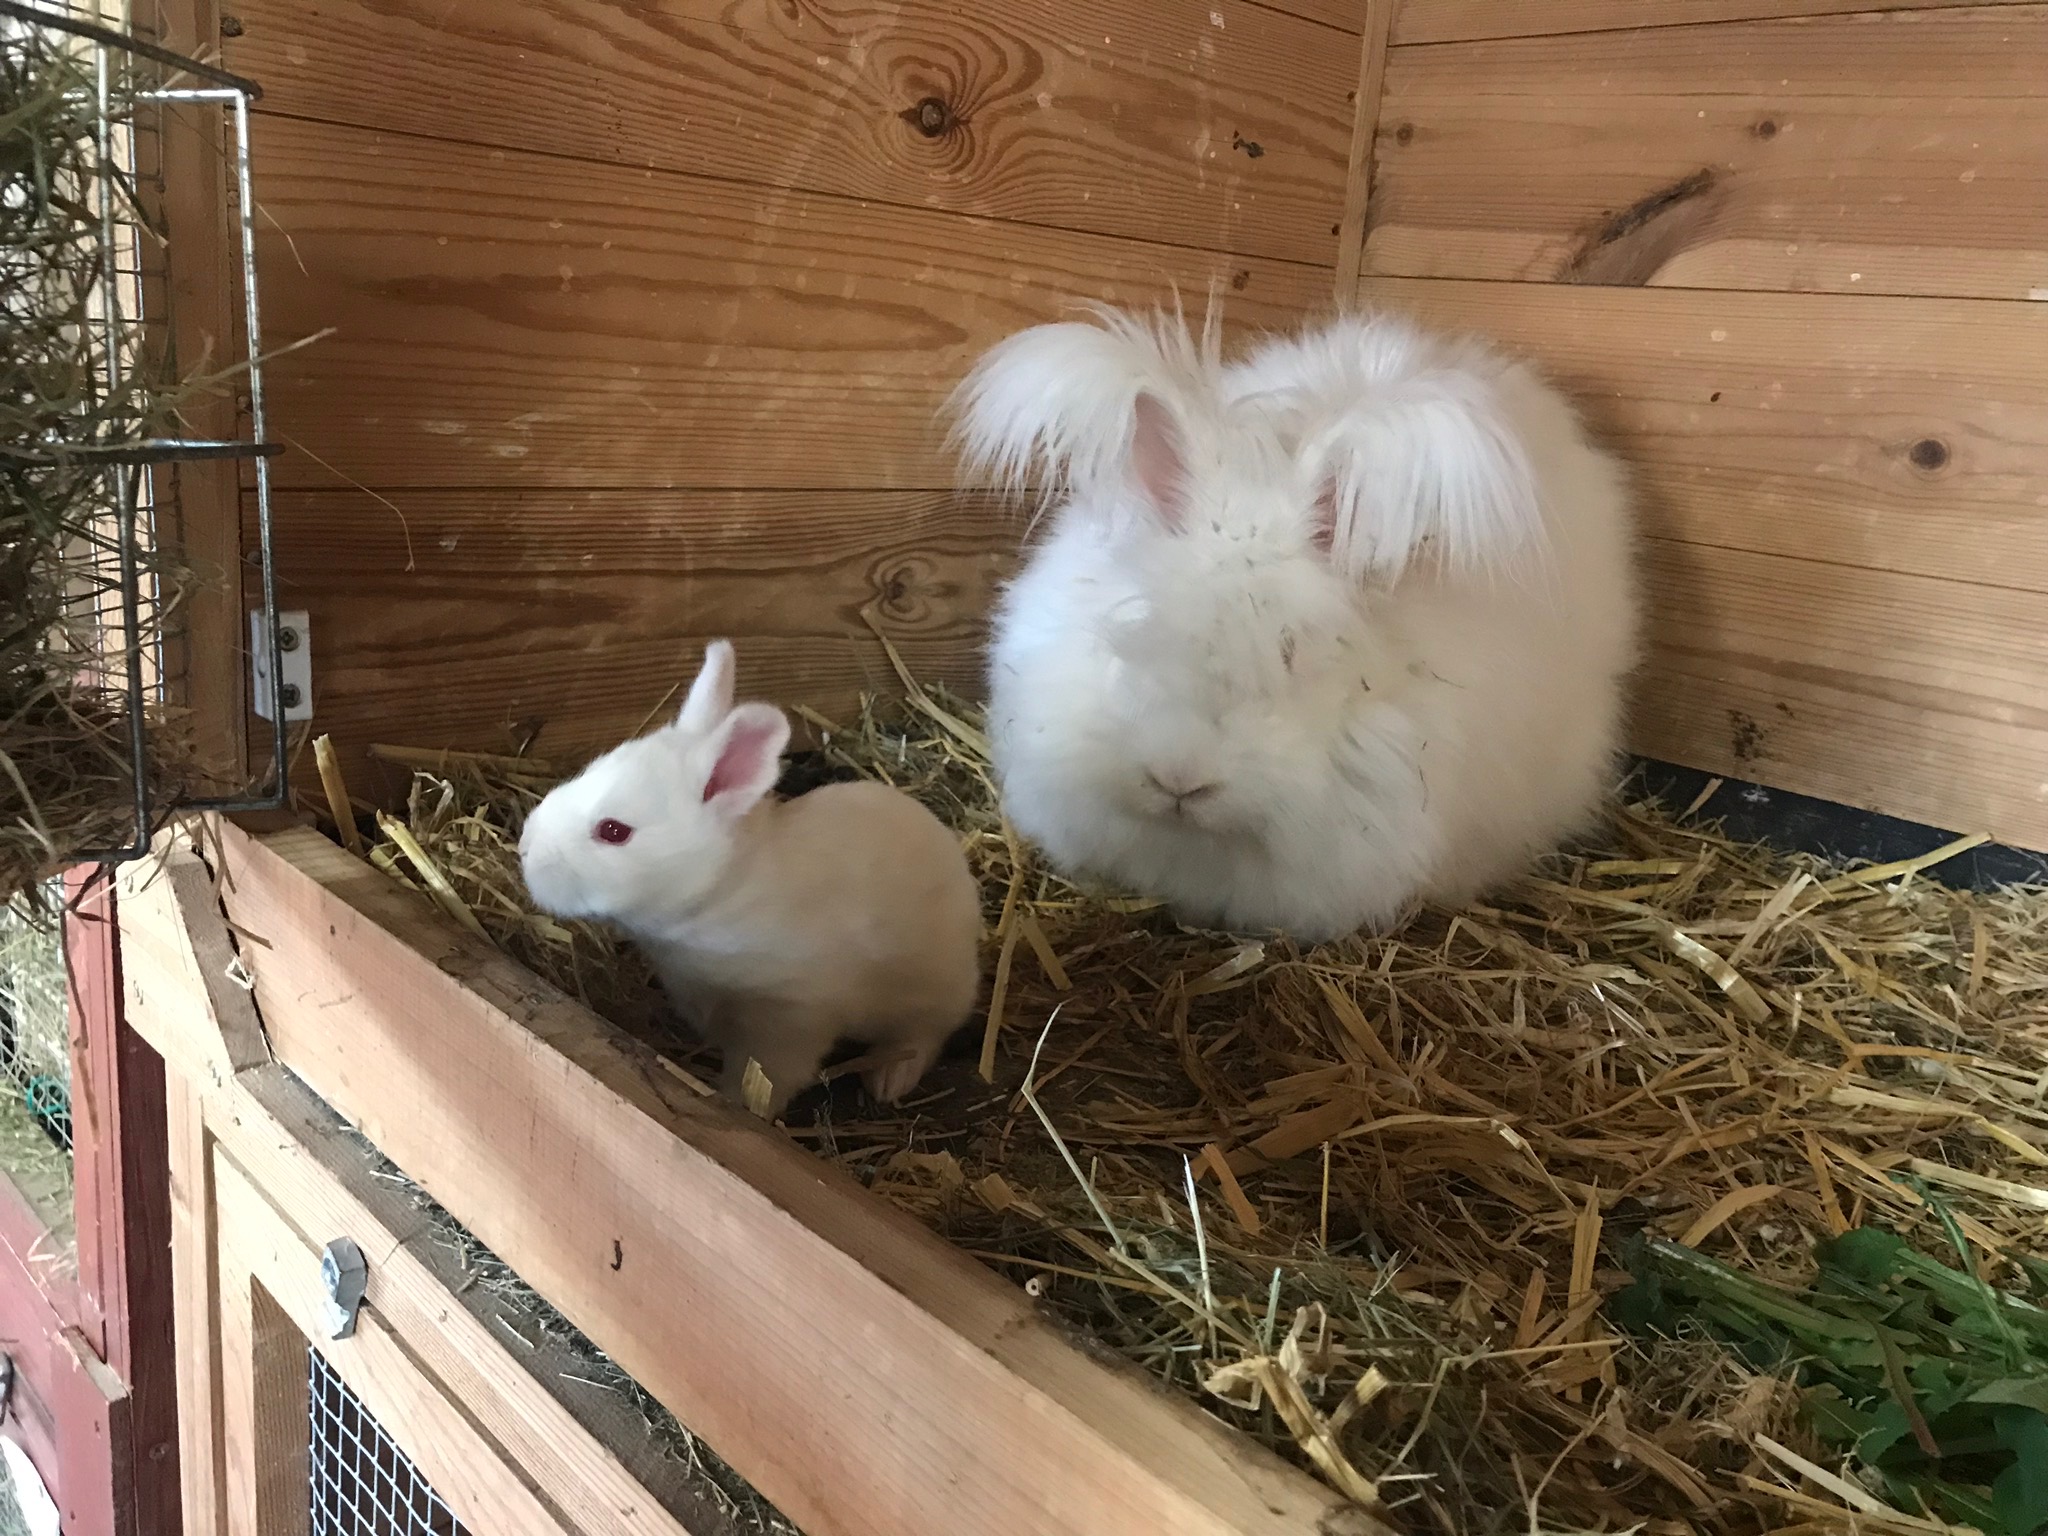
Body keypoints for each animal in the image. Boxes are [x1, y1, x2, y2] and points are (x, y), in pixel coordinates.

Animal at [517, 640, 983, 1118]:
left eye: (613, 831)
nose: (525, 847)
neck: (722, 898)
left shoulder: (788, 1021)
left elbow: (766, 1080)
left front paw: (733, 1103)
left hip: (931, 990)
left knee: (926, 1032)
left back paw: (890, 1078)